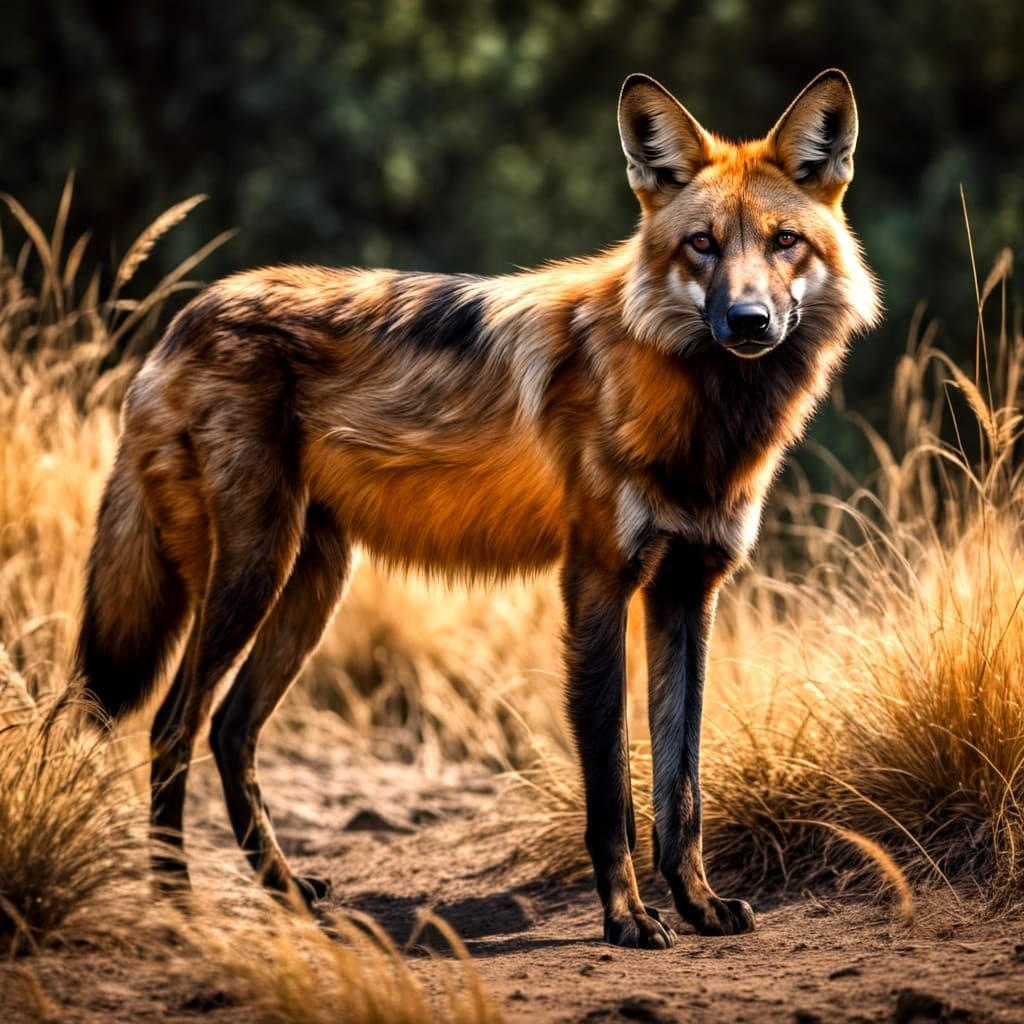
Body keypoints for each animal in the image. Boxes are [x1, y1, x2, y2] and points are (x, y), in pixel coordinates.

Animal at [77, 69, 880, 947]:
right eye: (702, 244)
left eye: (783, 242)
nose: (748, 321)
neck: (703, 421)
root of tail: (183, 320)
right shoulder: (597, 582)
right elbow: (612, 788)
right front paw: (627, 916)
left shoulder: (687, 592)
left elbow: (682, 787)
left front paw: (697, 903)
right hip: (253, 574)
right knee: (173, 726)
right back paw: (177, 903)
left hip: (310, 587)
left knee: (230, 730)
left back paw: (284, 891)